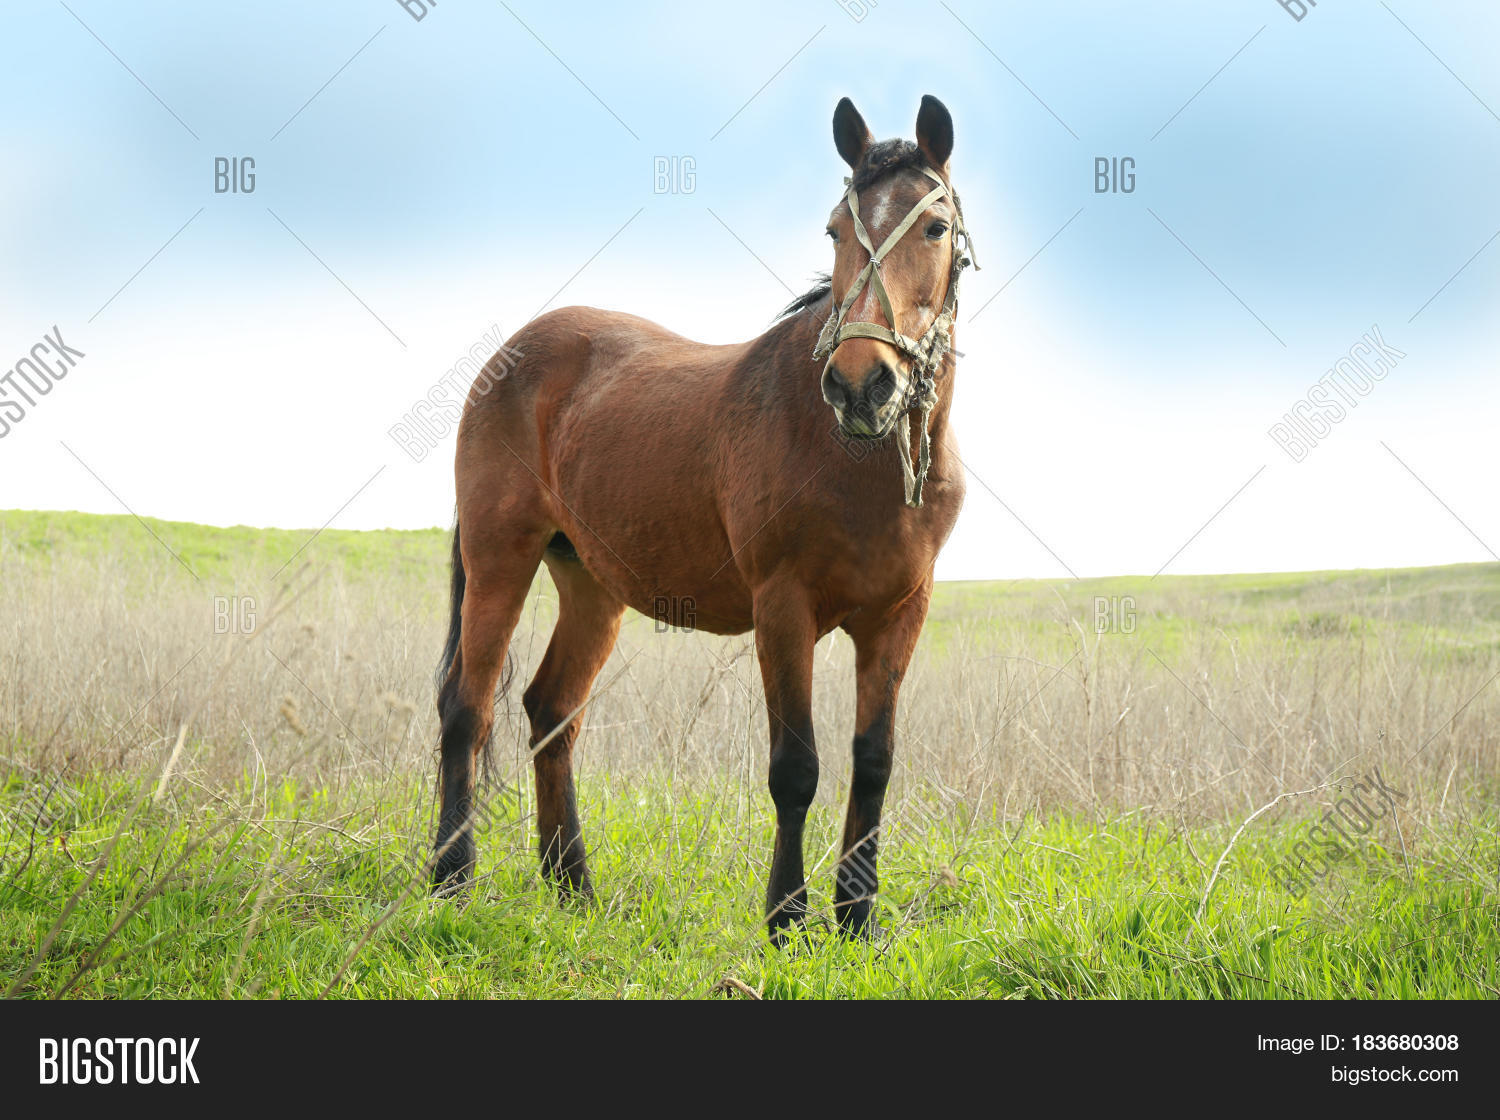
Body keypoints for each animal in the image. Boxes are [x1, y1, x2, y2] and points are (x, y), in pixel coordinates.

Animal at [431, 95, 976, 942]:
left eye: (935, 227)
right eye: (835, 230)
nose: (861, 383)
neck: (852, 454)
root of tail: (510, 354)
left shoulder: (899, 613)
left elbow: (873, 761)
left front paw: (856, 918)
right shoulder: (783, 606)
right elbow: (796, 769)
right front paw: (786, 918)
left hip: (590, 584)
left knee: (551, 710)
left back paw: (573, 887)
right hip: (499, 560)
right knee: (467, 706)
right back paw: (451, 880)